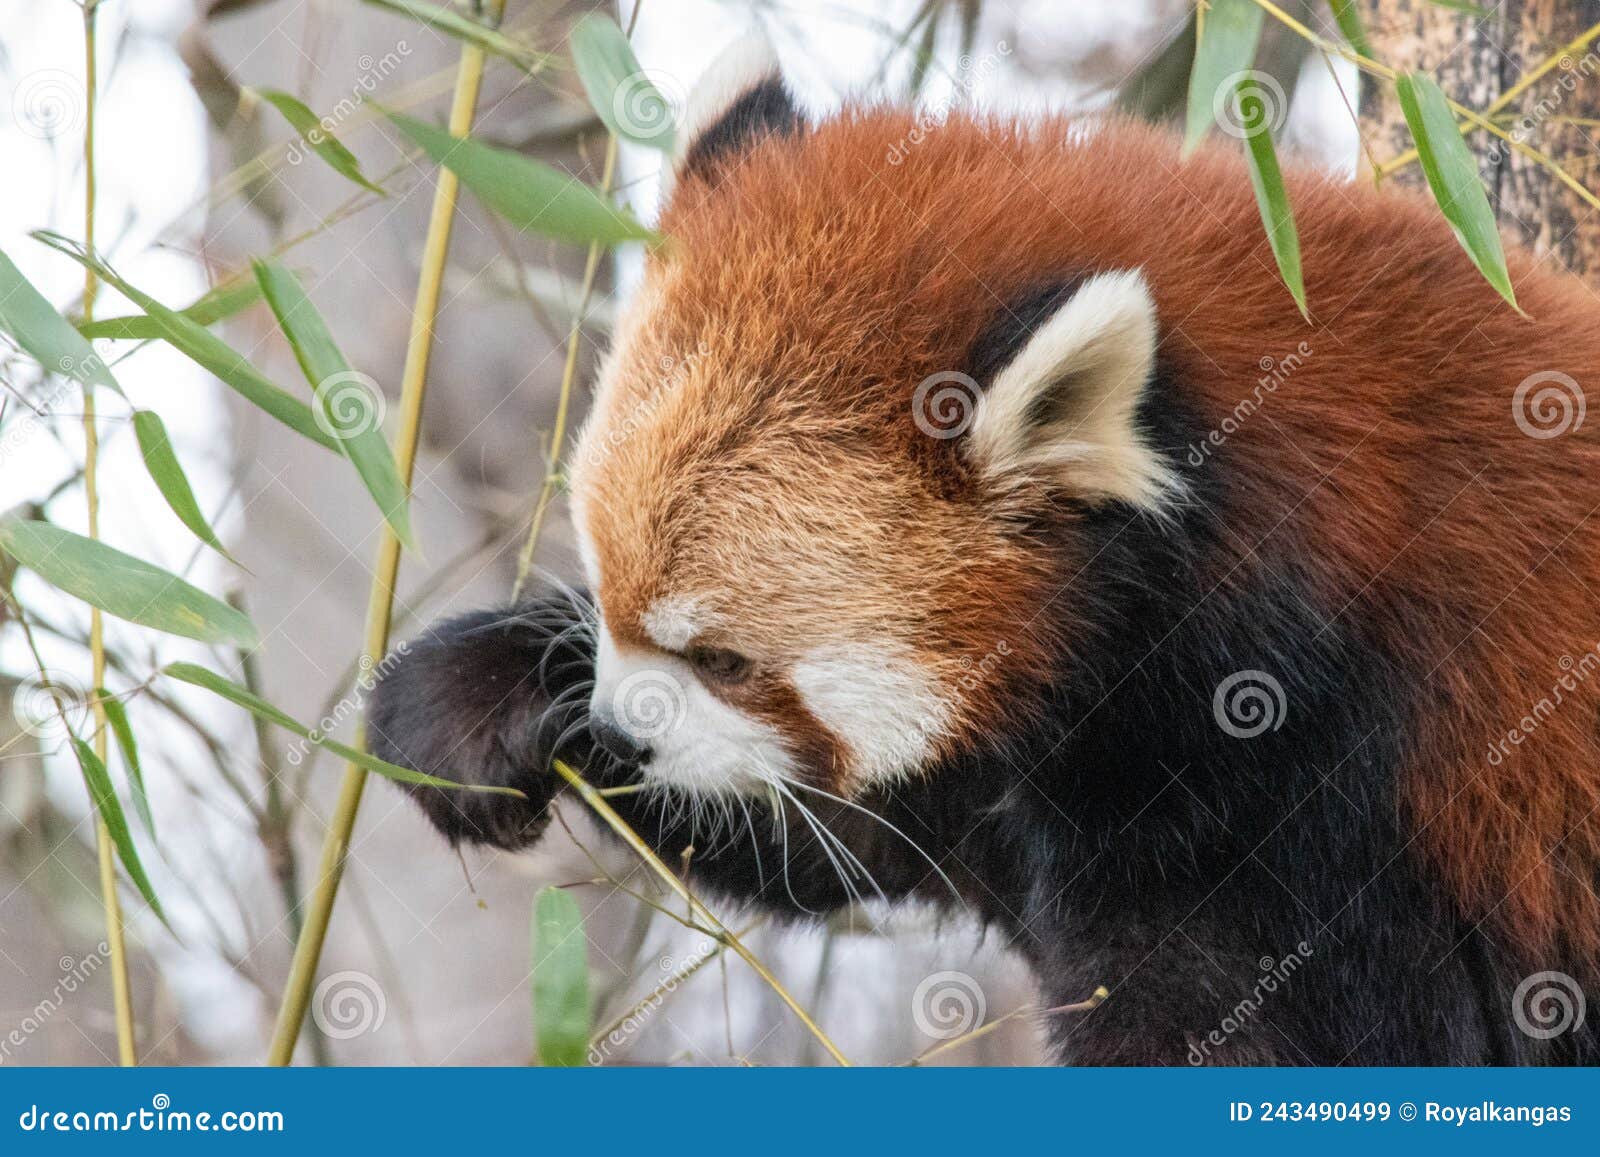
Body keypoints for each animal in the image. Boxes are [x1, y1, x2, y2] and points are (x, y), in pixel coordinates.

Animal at [367, 36, 1600, 1065]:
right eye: (607, 595)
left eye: (724, 659)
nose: (619, 728)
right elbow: (850, 827)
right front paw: (474, 698)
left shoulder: (1328, 784)